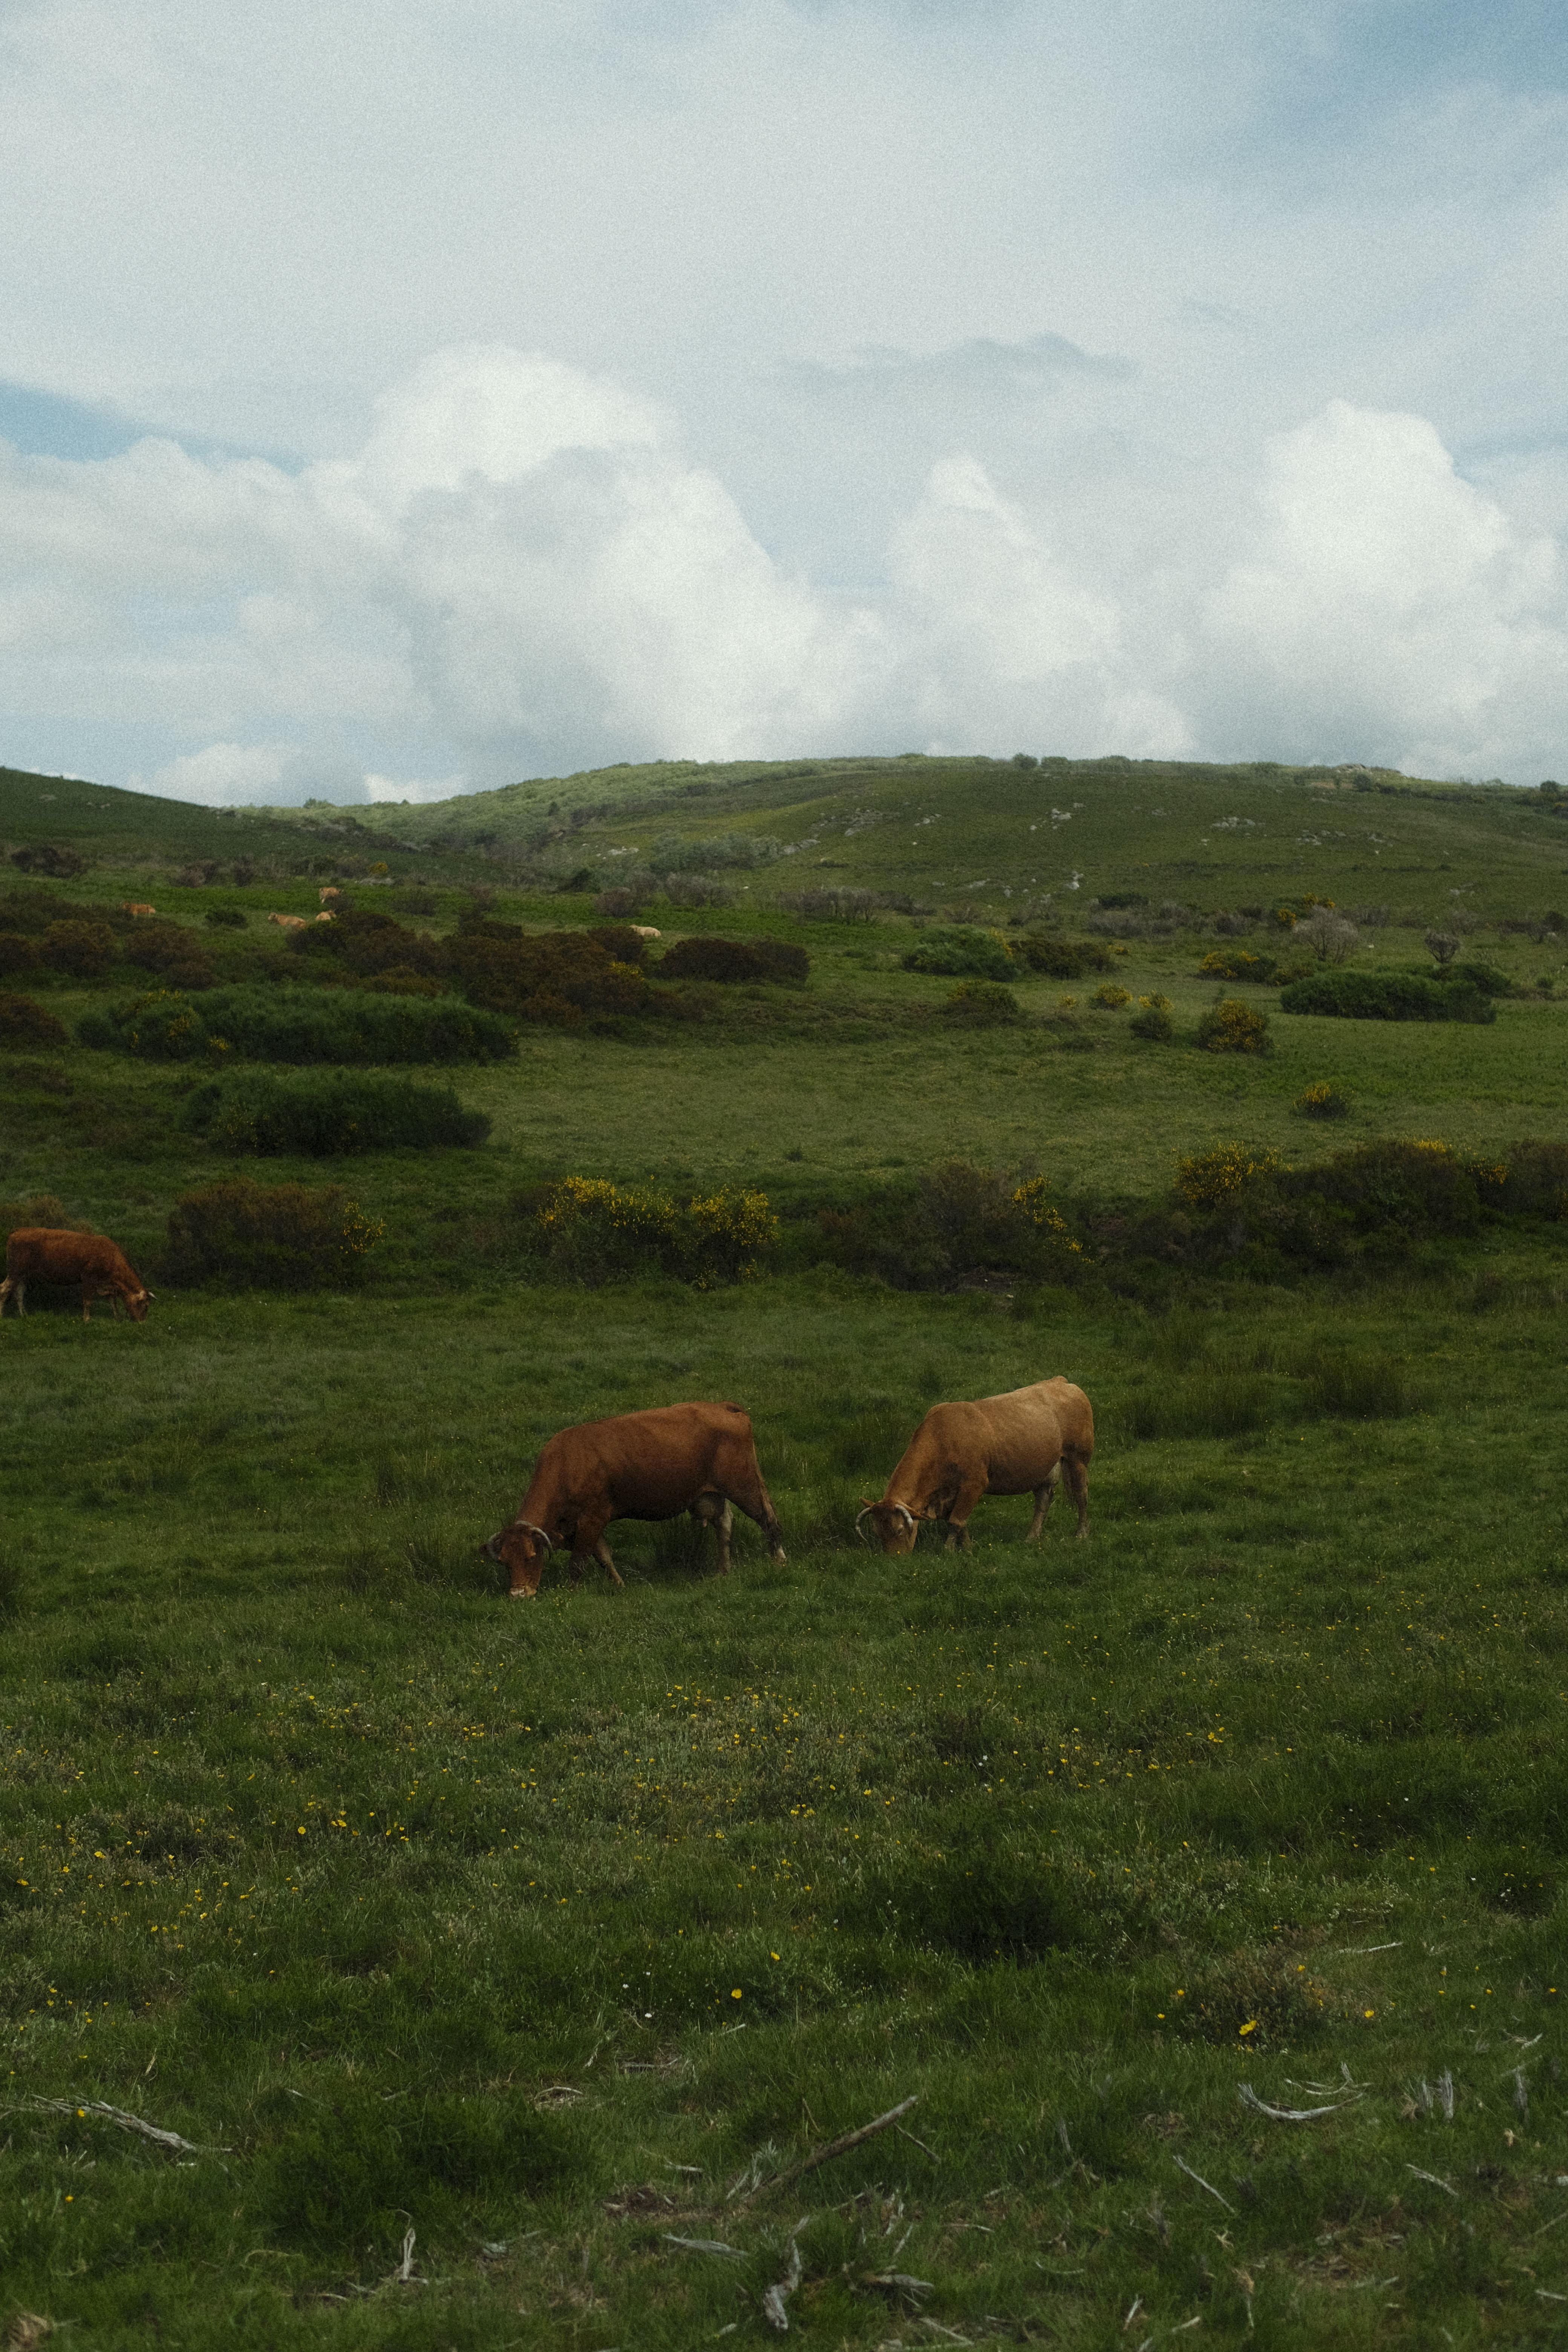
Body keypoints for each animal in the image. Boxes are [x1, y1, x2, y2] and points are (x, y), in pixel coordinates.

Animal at [0, 1228, 155, 1324]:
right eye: (145, 1306)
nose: (142, 1322)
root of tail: (19, 1231)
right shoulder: (88, 1278)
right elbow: (88, 1301)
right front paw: (86, 1319)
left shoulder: (107, 1284)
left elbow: (113, 1301)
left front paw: (118, 1317)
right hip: (15, 1271)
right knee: (4, 1289)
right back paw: (2, 1315)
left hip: (22, 1275)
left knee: (19, 1293)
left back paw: (24, 1315)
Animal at [484, 1401, 786, 1597]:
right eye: (505, 1563)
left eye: (532, 1557)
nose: (519, 1594)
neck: (568, 1464)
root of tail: (723, 1406)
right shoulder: (584, 1525)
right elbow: (604, 1556)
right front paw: (619, 1585)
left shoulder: (593, 1518)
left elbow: (580, 1561)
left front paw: (572, 1592)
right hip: (713, 1494)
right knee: (724, 1524)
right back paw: (723, 1572)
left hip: (744, 1486)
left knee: (768, 1520)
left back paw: (778, 1562)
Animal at [856, 1377, 1094, 1553]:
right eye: (877, 1532)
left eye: (898, 1531)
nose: (895, 1560)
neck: (943, 1438)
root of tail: (1061, 1382)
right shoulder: (951, 1494)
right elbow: (960, 1522)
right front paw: (968, 1549)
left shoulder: (975, 1483)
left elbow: (956, 1521)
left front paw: (948, 1551)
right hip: (1046, 1469)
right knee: (1043, 1501)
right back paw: (1031, 1537)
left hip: (1078, 1459)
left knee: (1081, 1495)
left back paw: (1081, 1534)